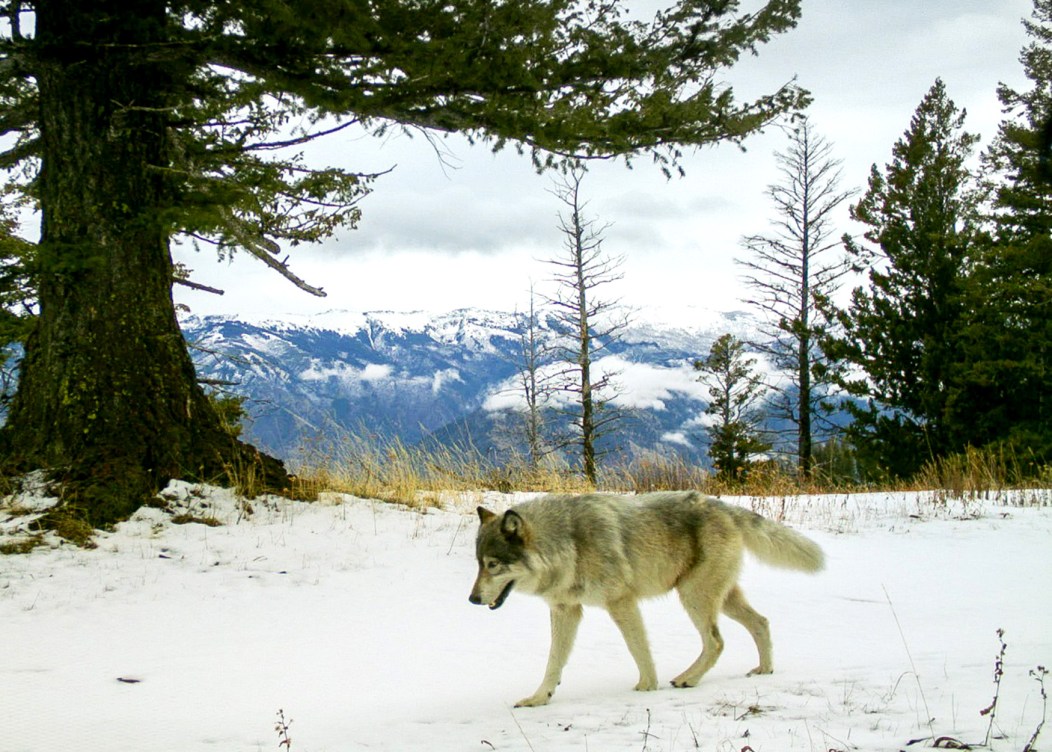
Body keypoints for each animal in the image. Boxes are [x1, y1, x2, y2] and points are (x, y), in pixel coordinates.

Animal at [468, 490, 824, 707]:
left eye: (493, 565)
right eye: (478, 564)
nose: (472, 599)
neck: (569, 544)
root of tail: (723, 506)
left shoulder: (621, 602)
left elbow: (638, 648)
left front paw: (647, 687)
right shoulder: (566, 610)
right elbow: (553, 661)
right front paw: (539, 698)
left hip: (694, 597)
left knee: (716, 641)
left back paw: (687, 679)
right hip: (720, 598)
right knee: (761, 622)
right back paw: (764, 669)